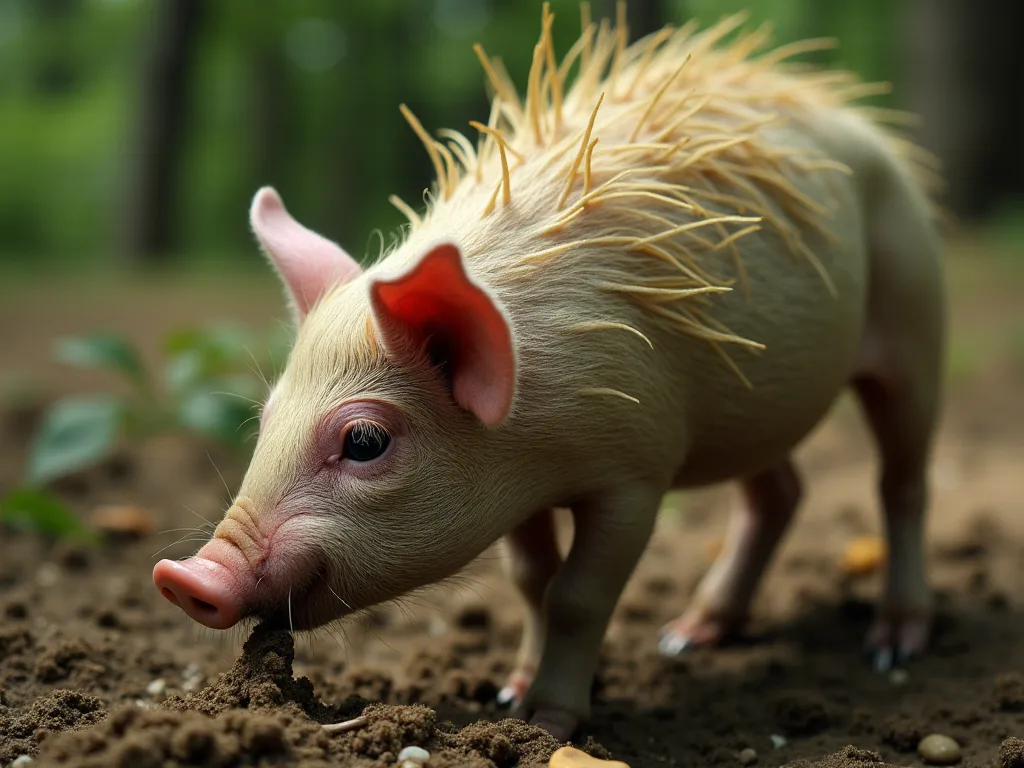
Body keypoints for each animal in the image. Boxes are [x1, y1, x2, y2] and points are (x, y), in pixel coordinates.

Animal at [153, 6, 945, 740]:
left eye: (366, 441)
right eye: (264, 418)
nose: (185, 576)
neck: (540, 440)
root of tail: (864, 121)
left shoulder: (638, 469)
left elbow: (577, 595)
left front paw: (548, 726)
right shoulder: (520, 488)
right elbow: (532, 581)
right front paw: (508, 696)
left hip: (914, 314)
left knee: (901, 480)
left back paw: (893, 648)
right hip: (755, 405)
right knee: (778, 493)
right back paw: (687, 638)